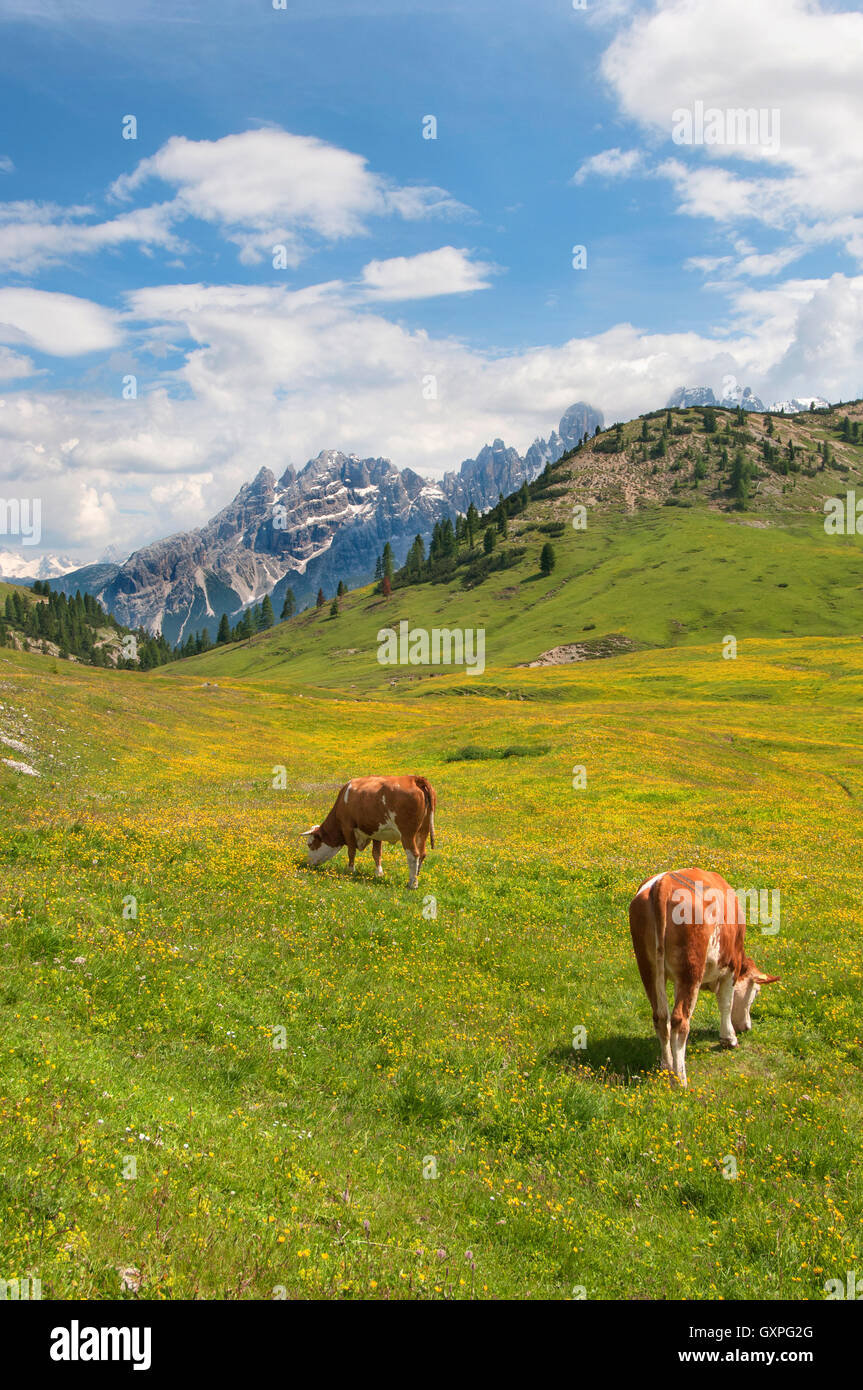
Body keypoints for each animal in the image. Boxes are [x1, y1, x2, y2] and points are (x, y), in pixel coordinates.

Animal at [299, 775, 436, 889]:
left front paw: (350, 870)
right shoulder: (376, 831)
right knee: (422, 854)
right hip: (423, 831)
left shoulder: (347, 827)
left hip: (408, 834)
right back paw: (417, 875)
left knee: (414, 855)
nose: (307, 863)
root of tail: (415, 778)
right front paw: (379, 873)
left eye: (310, 844)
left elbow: (351, 851)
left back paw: (412, 883)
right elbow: (376, 853)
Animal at [629, 868, 779, 1087]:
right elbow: (726, 1003)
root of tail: (663, 883)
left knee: (661, 1017)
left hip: (649, 968)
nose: (747, 1027)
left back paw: (667, 1068)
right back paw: (680, 1079)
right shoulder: (731, 967)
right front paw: (729, 1038)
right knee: (680, 1021)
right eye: (756, 992)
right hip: (691, 970)